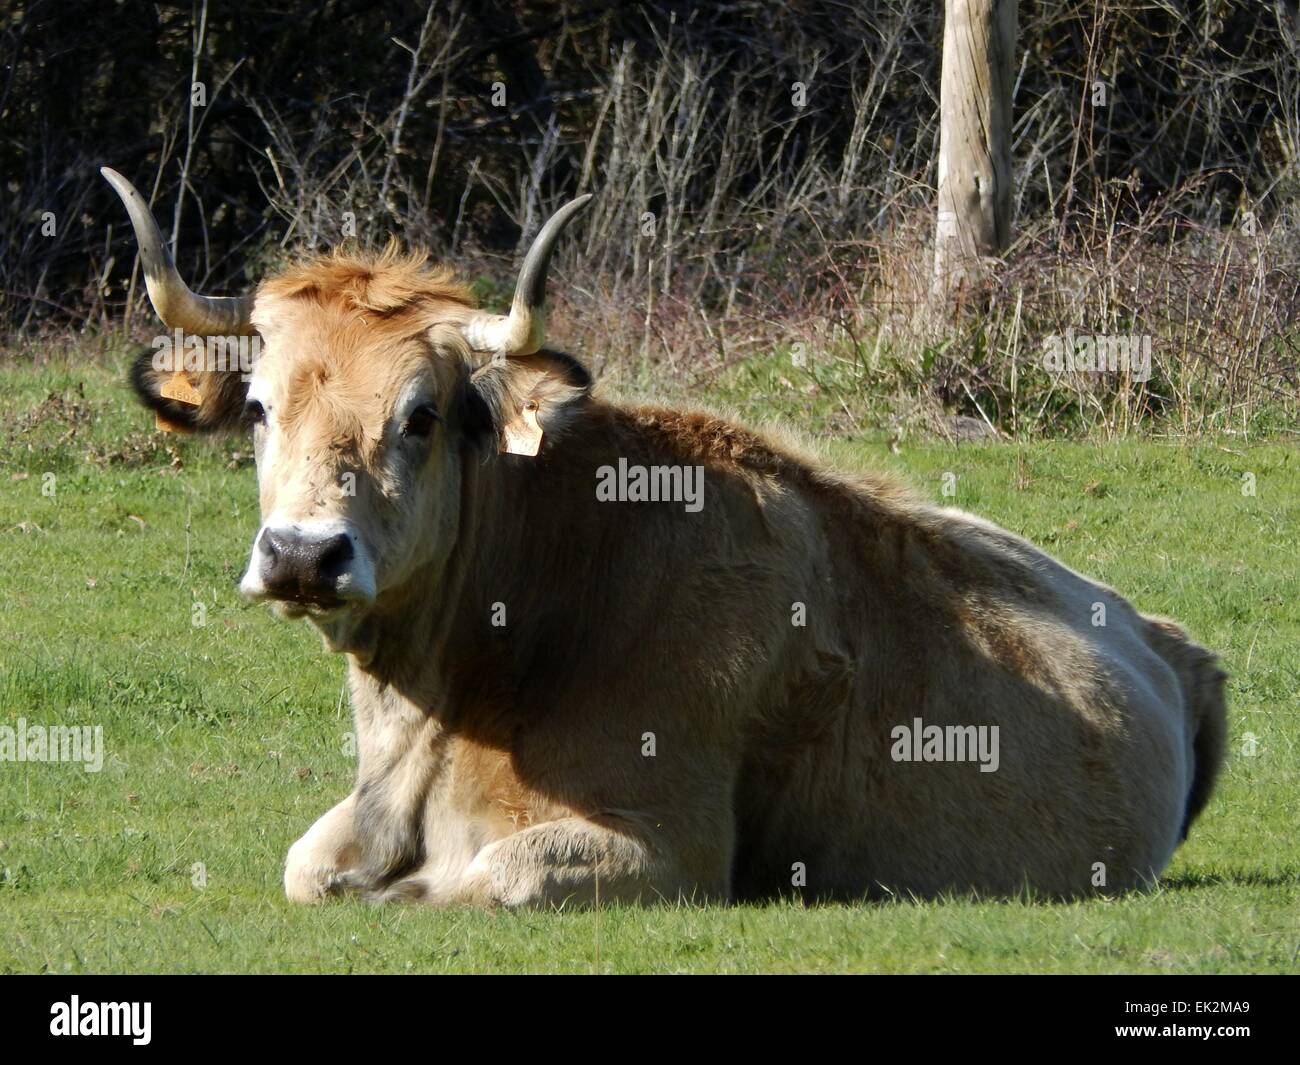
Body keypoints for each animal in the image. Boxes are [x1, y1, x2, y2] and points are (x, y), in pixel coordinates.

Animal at [102, 167, 1228, 907]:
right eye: (257, 407)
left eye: (421, 415)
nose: (303, 553)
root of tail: (1161, 638)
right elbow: (308, 867)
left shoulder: (669, 849)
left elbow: (485, 877)